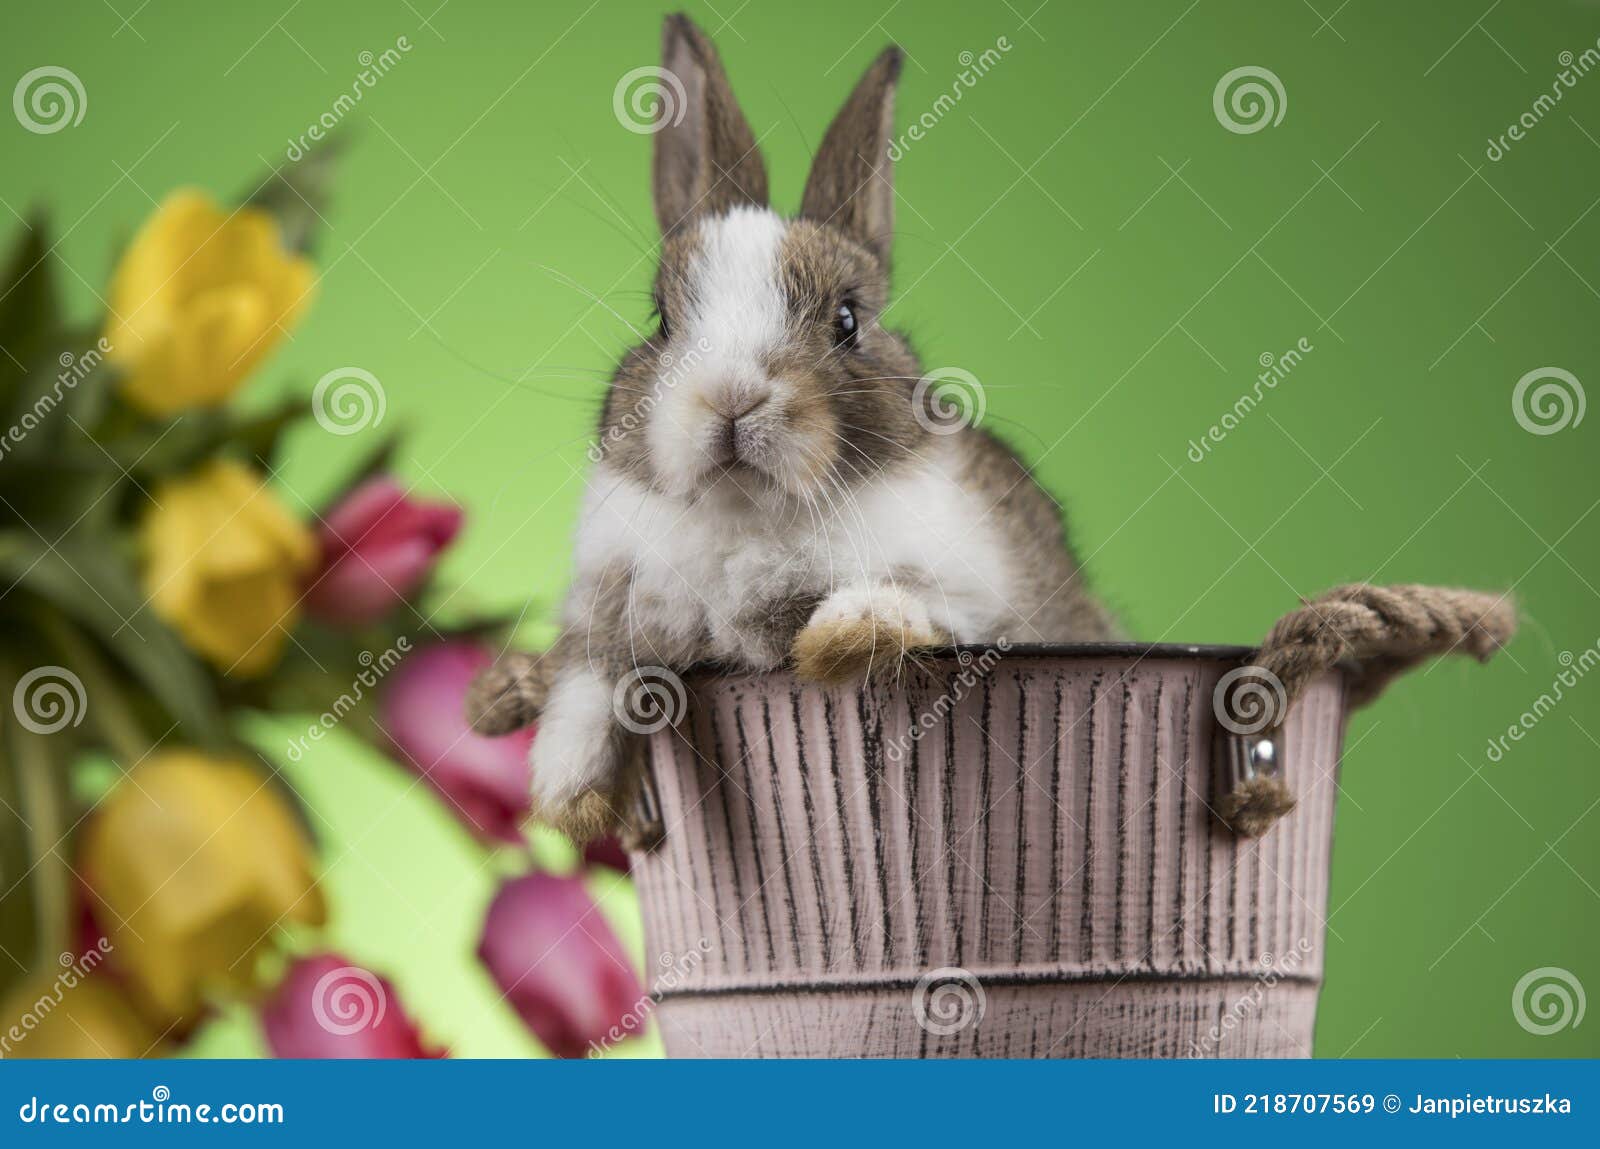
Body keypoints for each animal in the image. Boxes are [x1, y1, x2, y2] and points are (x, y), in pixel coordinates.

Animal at [467, 13, 1120, 843]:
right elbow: (592, 677)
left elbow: (910, 602)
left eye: (847, 320)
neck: (749, 514)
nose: (733, 398)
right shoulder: (610, 607)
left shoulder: (977, 595)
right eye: (661, 319)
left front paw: (841, 635)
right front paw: (568, 793)